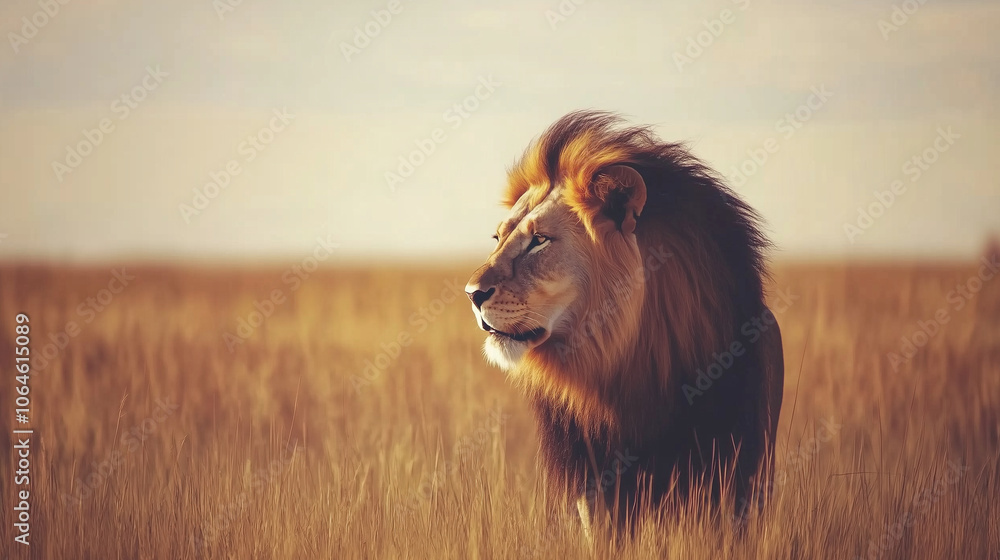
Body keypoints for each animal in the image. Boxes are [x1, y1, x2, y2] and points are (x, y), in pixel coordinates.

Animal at [464, 111, 785, 536]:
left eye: (540, 241)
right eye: (497, 237)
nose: (471, 294)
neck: (626, 363)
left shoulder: (732, 477)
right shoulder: (594, 488)